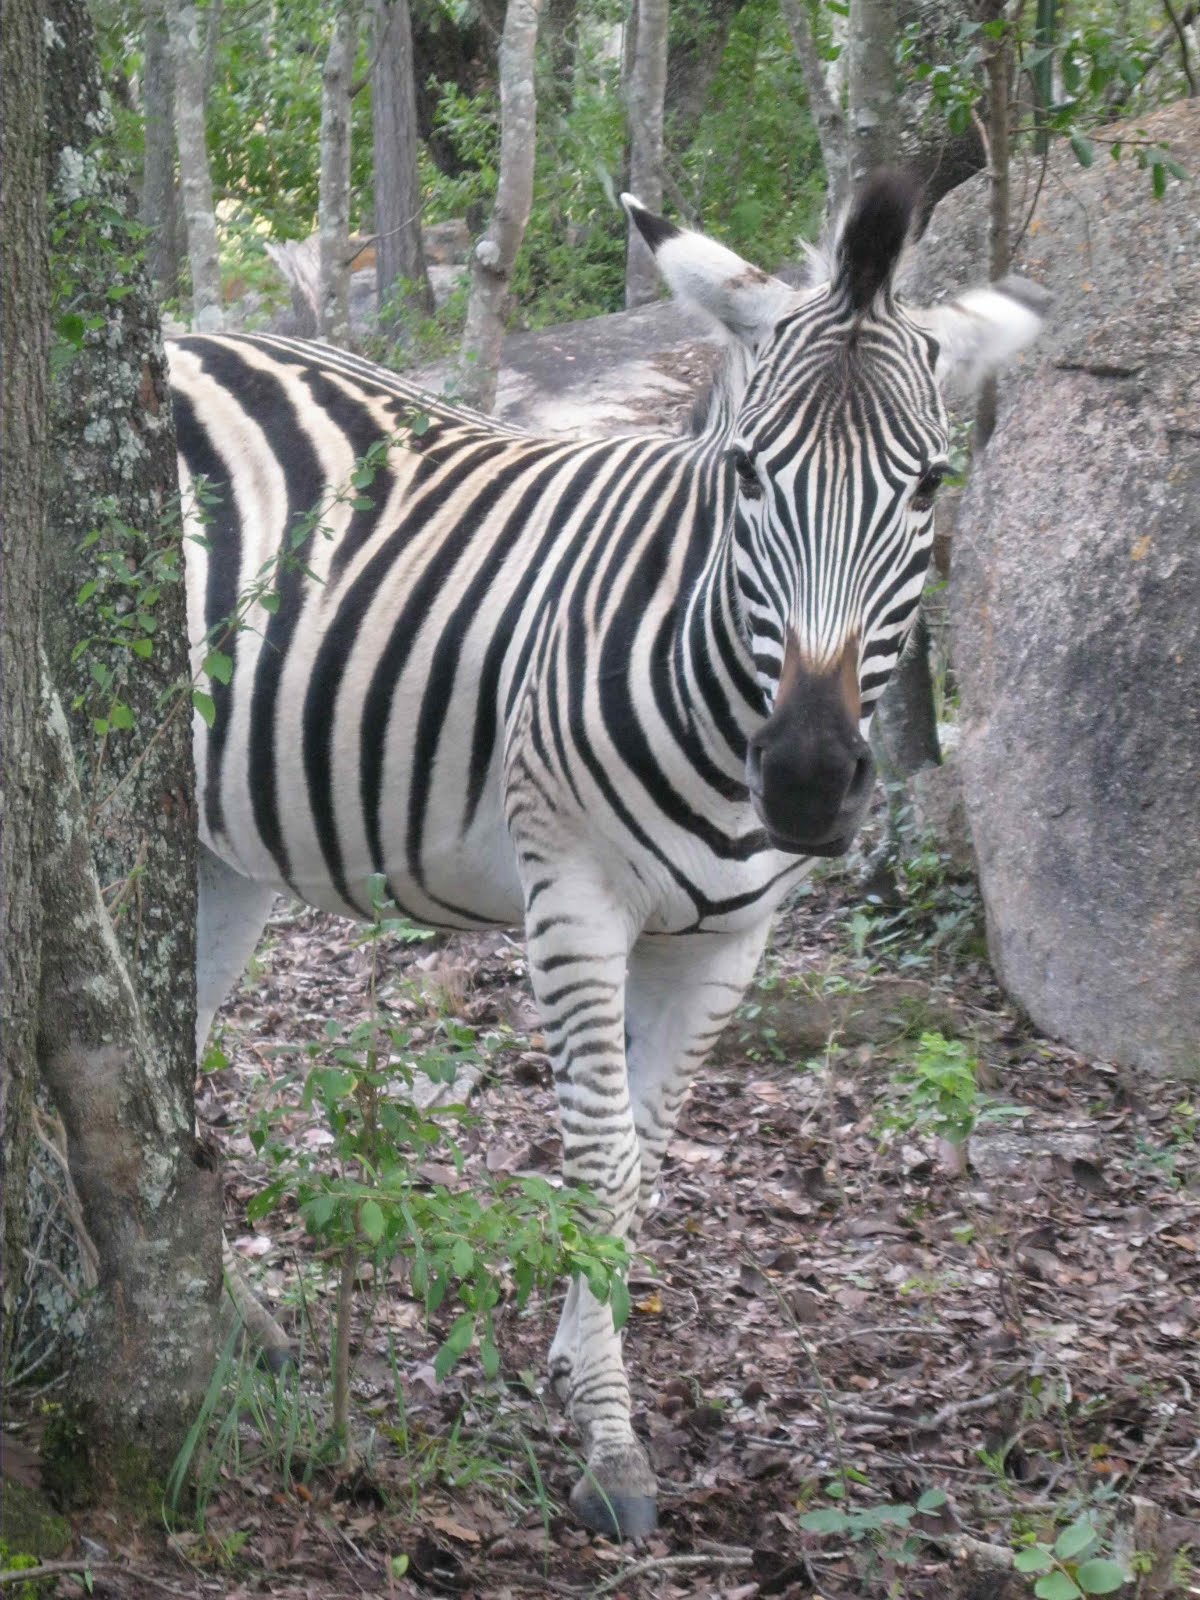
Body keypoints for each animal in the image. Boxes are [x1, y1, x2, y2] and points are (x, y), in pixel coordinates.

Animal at [171, 172, 1045, 1539]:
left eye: (928, 484)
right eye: (747, 476)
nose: (807, 778)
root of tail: (179, 338)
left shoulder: (730, 946)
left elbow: (645, 1160)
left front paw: (585, 1363)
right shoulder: (573, 897)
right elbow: (598, 1152)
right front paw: (610, 1440)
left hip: (223, 844)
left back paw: (240, 1316)